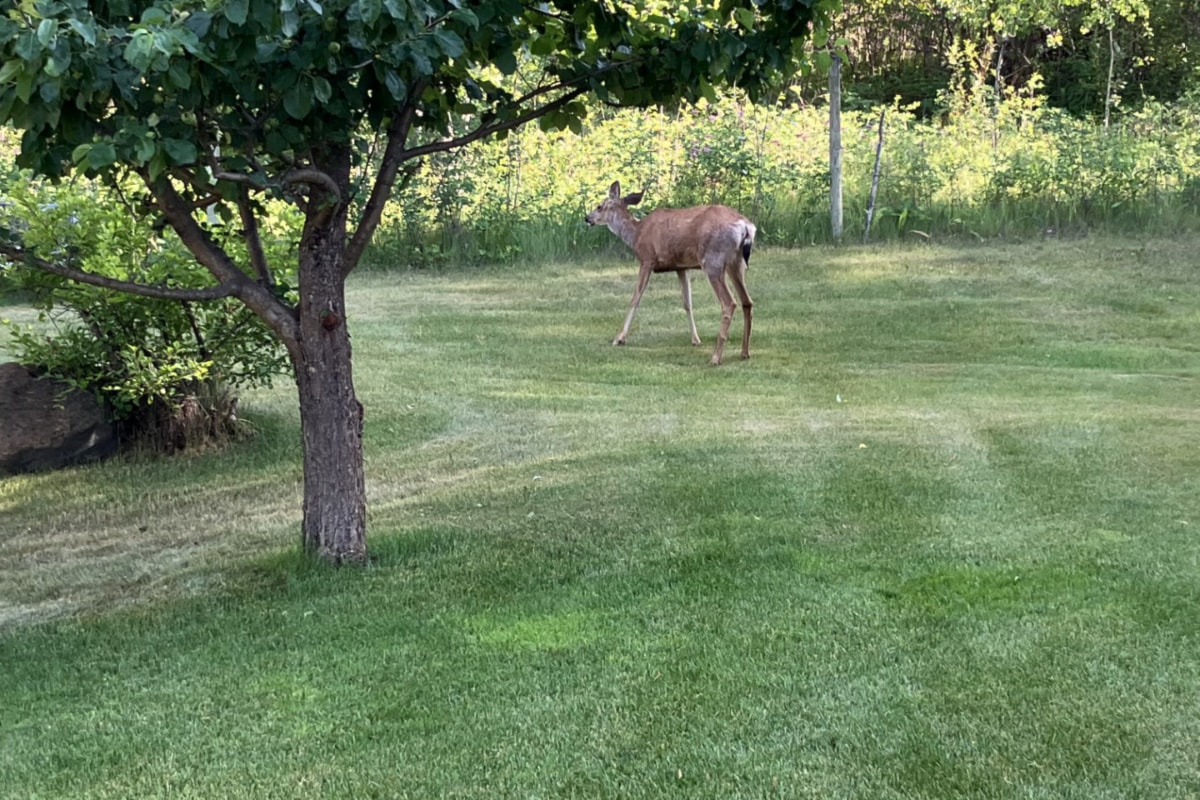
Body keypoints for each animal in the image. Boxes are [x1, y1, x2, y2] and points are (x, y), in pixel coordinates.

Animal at [585, 181, 755, 365]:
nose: (587, 218)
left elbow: (635, 299)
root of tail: (746, 226)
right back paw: (744, 352)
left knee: (729, 302)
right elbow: (687, 303)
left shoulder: (647, 259)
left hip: (713, 260)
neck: (636, 234)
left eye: (599, 206)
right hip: (736, 262)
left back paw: (716, 357)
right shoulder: (681, 267)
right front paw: (696, 340)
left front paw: (619, 338)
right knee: (747, 301)